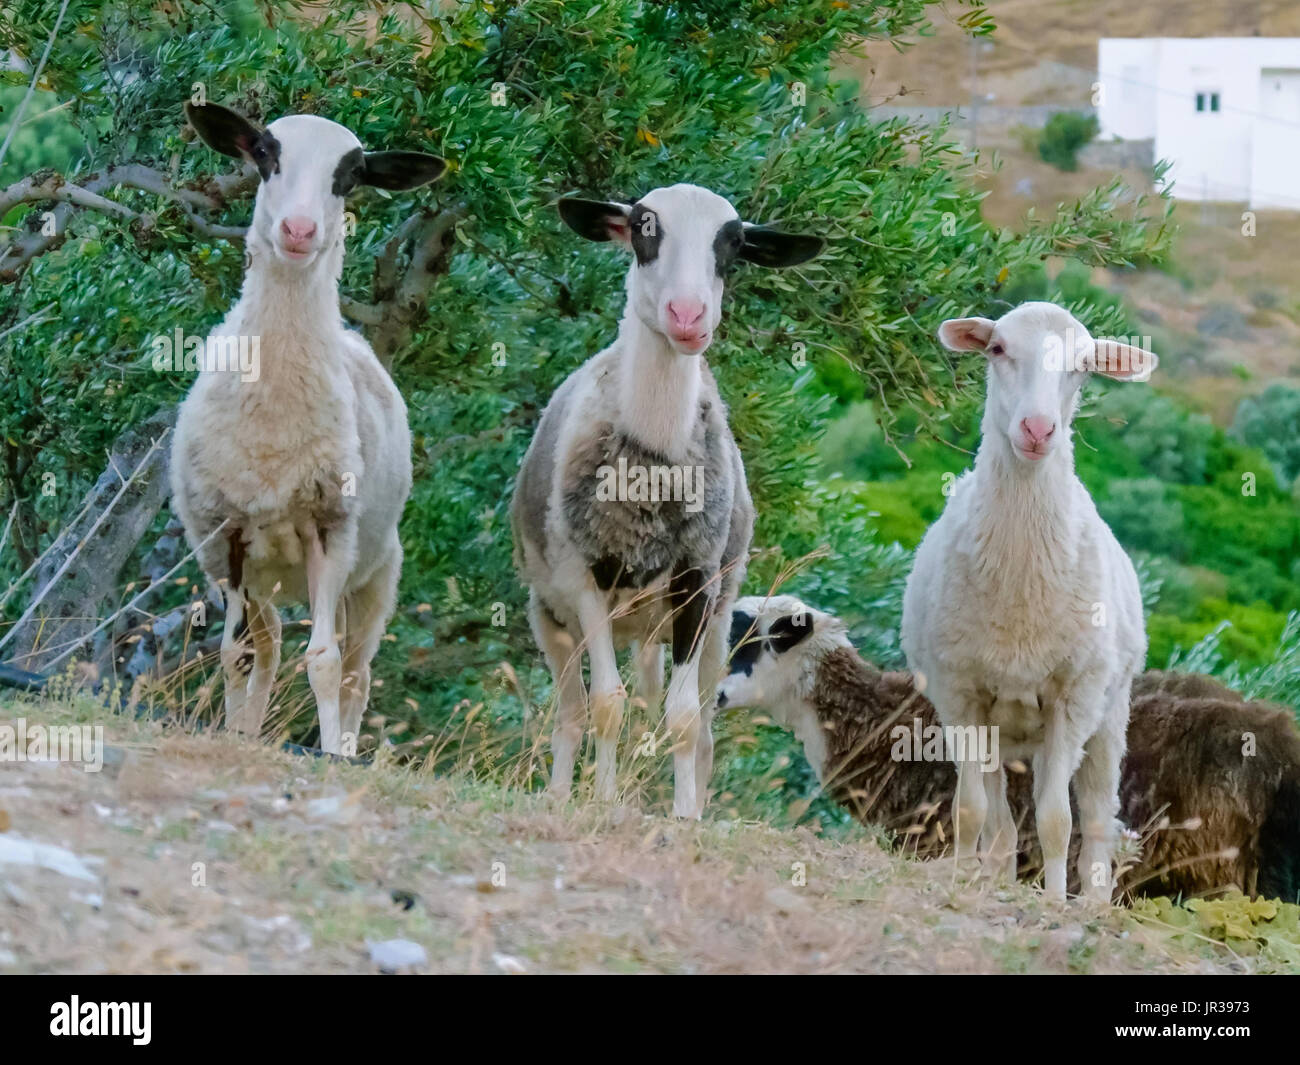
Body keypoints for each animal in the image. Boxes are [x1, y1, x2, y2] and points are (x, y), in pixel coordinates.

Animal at [171, 102, 445, 755]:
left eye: (351, 175)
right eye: (264, 155)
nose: (298, 230)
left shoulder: (331, 530)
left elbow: (323, 661)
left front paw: (326, 753)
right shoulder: (227, 536)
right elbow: (237, 655)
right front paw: (236, 735)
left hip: (375, 574)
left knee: (355, 674)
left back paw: (343, 745)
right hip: (263, 577)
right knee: (267, 646)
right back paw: (249, 726)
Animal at [511, 183, 823, 817]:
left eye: (734, 243)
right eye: (643, 226)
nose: (687, 316)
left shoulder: (696, 582)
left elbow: (682, 720)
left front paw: (684, 815)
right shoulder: (587, 580)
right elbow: (607, 704)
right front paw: (602, 800)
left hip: (708, 623)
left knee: (696, 723)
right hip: (550, 615)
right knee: (572, 712)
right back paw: (560, 792)